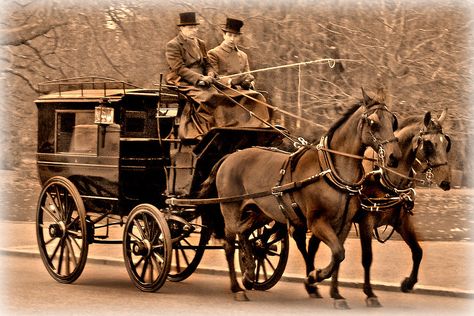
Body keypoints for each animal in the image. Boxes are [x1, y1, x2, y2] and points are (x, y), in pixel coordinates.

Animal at [199, 89, 400, 302]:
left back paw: (249, 273)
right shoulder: (317, 222)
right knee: (229, 245)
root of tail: (230, 156)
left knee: (244, 232)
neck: (330, 169)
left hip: (260, 212)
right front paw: (315, 276)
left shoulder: (344, 223)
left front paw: (323, 286)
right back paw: (237, 287)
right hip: (230, 209)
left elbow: (338, 254)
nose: (394, 156)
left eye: (392, 121)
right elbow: (337, 252)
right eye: (373, 122)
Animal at [306, 109, 450, 308]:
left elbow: (418, 251)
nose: (446, 182)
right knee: (320, 248)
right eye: (429, 144)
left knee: (324, 249)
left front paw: (408, 283)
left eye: (446, 143)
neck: (385, 176)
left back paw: (324, 289)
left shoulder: (401, 221)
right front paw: (369, 293)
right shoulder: (366, 221)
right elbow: (367, 258)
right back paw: (318, 285)